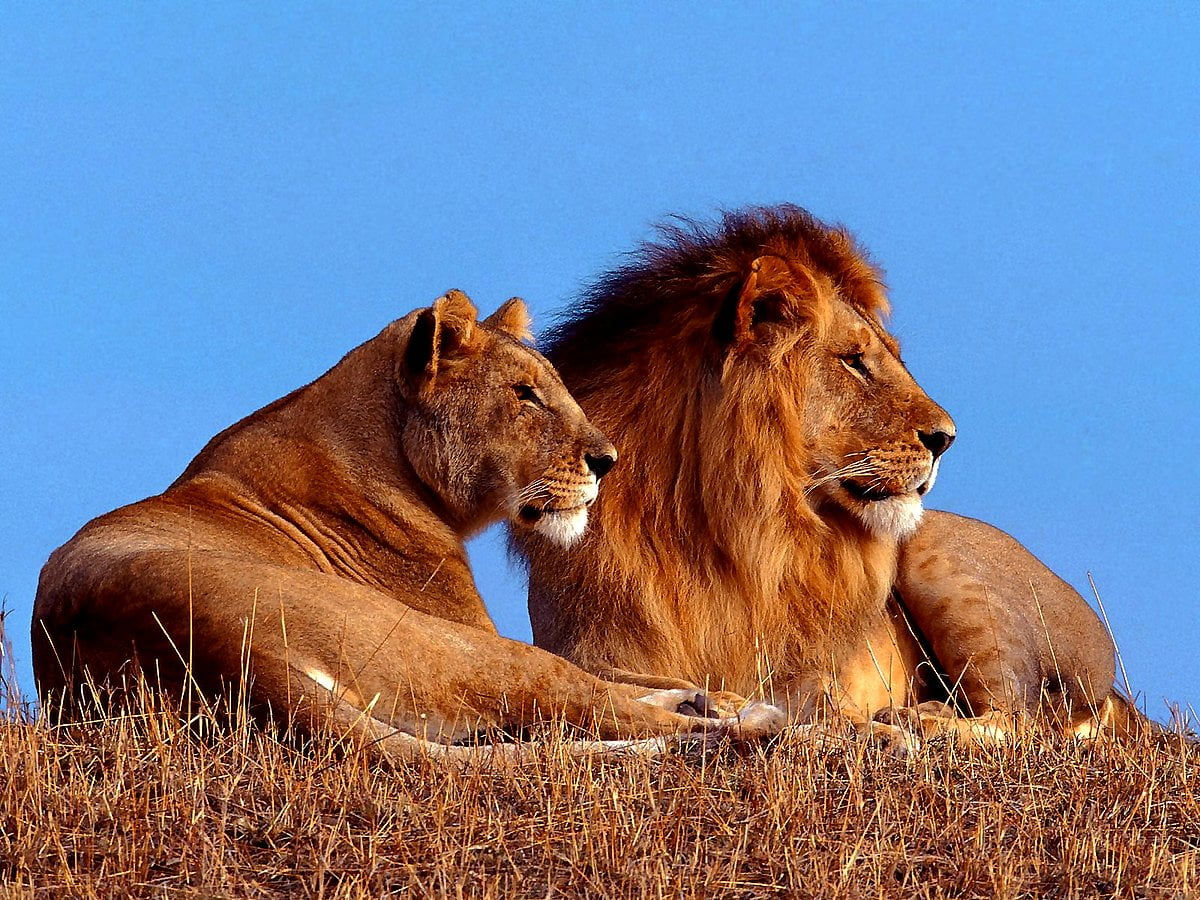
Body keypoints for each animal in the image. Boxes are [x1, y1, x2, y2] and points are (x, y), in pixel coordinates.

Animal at [32, 289, 784, 761]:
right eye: (525, 394)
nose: (608, 461)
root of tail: (221, 652)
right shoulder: (468, 625)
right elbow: (600, 678)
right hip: (453, 647)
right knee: (585, 702)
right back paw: (742, 721)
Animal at [513, 205, 1135, 744]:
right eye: (854, 361)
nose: (946, 438)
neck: (714, 527)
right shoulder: (583, 647)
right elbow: (612, 681)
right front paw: (705, 704)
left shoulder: (809, 668)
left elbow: (814, 699)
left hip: (941, 556)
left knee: (1021, 721)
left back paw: (919, 720)